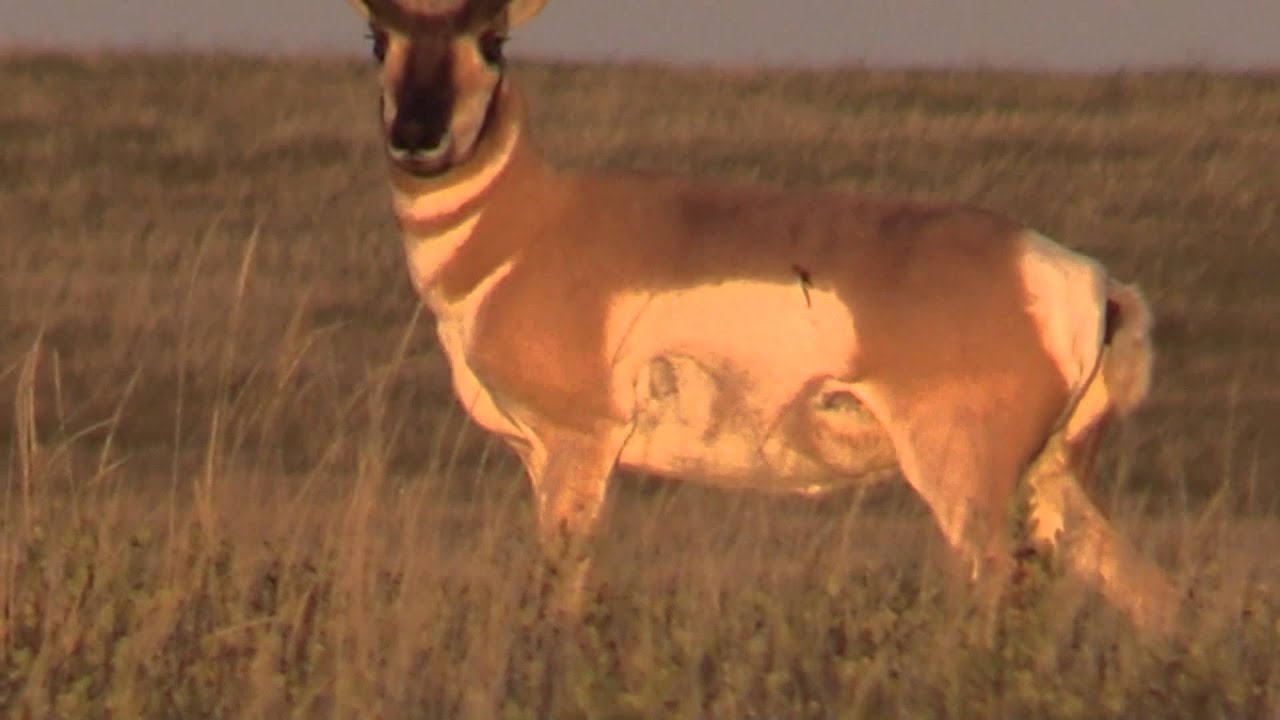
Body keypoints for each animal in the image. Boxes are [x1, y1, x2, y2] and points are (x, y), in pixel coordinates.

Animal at [346, 0, 1177, 630]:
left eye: (492, 40)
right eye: (379, 37)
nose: (416, 136)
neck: (534, 225)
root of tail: (1092, 281)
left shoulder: (577, 448)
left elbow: (564, 590)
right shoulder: (536, 454)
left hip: (966, 483)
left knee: (1000, 590)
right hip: (1052, 480)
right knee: (1149, 593)